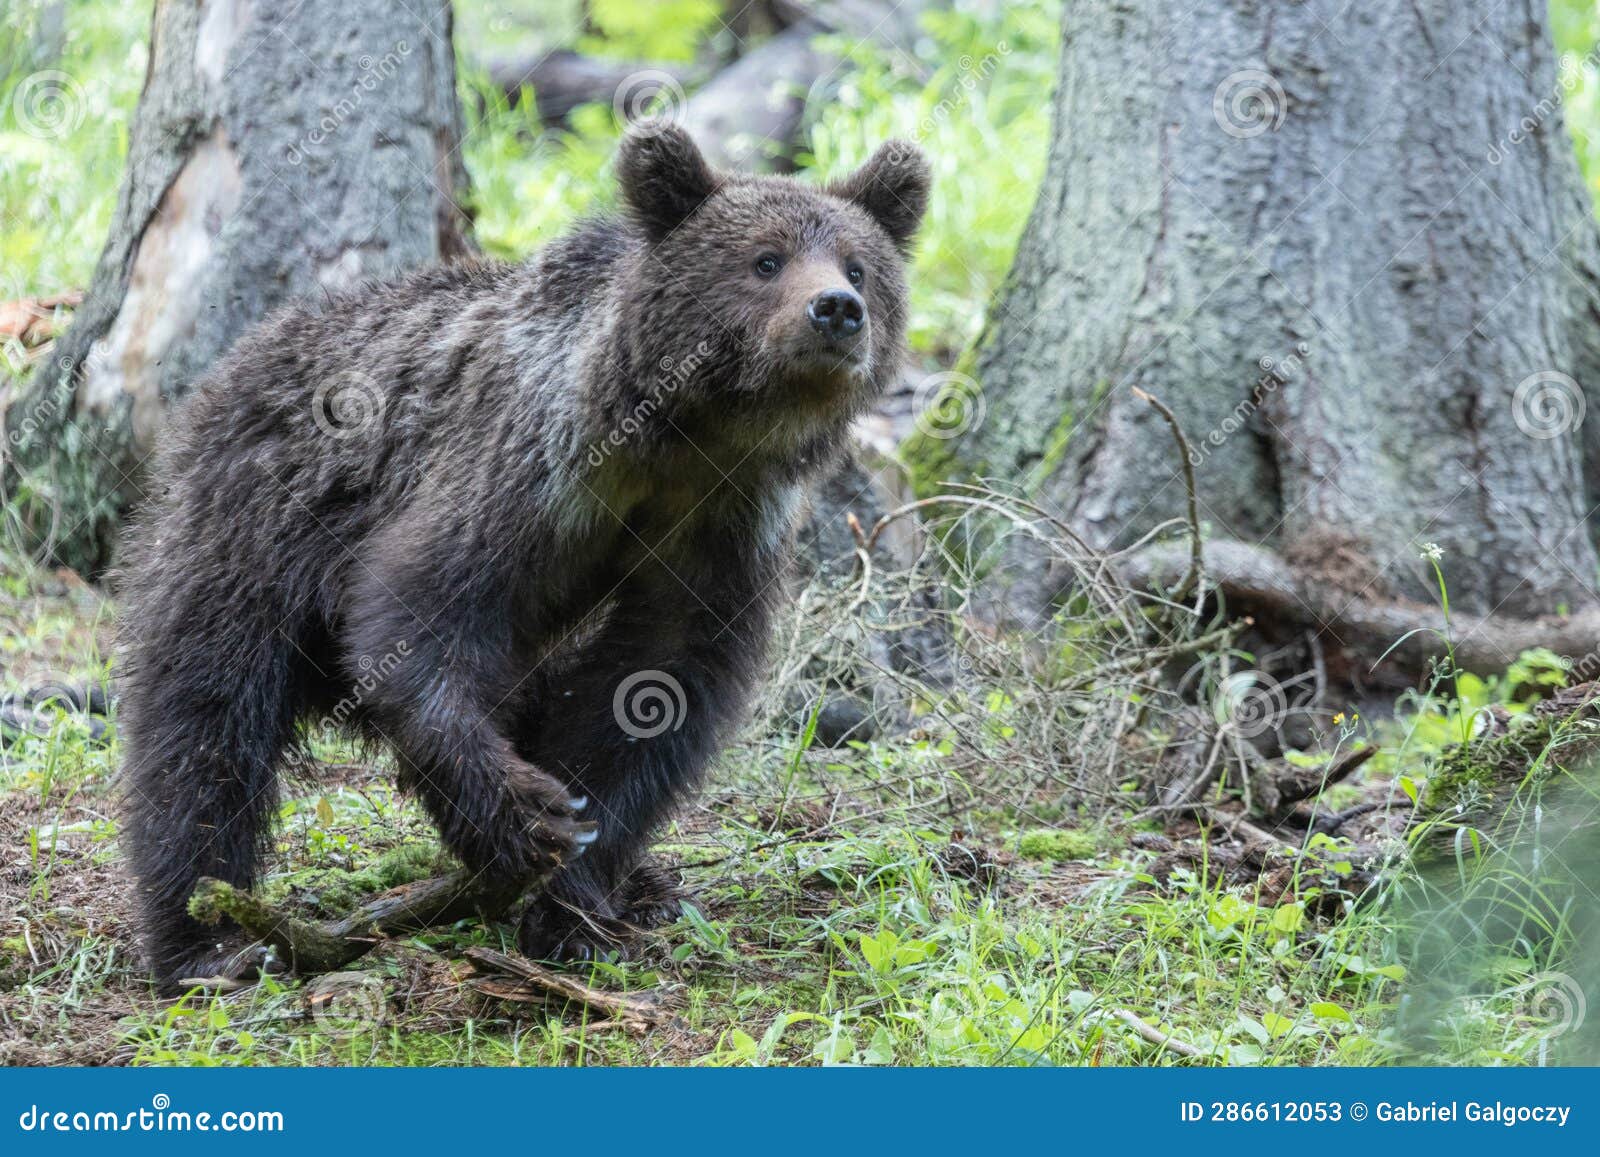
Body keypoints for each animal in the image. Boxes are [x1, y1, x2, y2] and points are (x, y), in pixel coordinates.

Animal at [117, 124, 930, 990]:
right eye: (765, 259)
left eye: (858, 264)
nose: (836, 309)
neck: (684, 439)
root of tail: (246, 355)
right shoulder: (527, 470)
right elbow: (420, 620)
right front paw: (528, 818)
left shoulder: (722, 526)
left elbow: (654, 684)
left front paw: (577, 900)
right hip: (250, 531)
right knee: (204, 725)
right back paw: (207, 936)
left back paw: (641, 885)